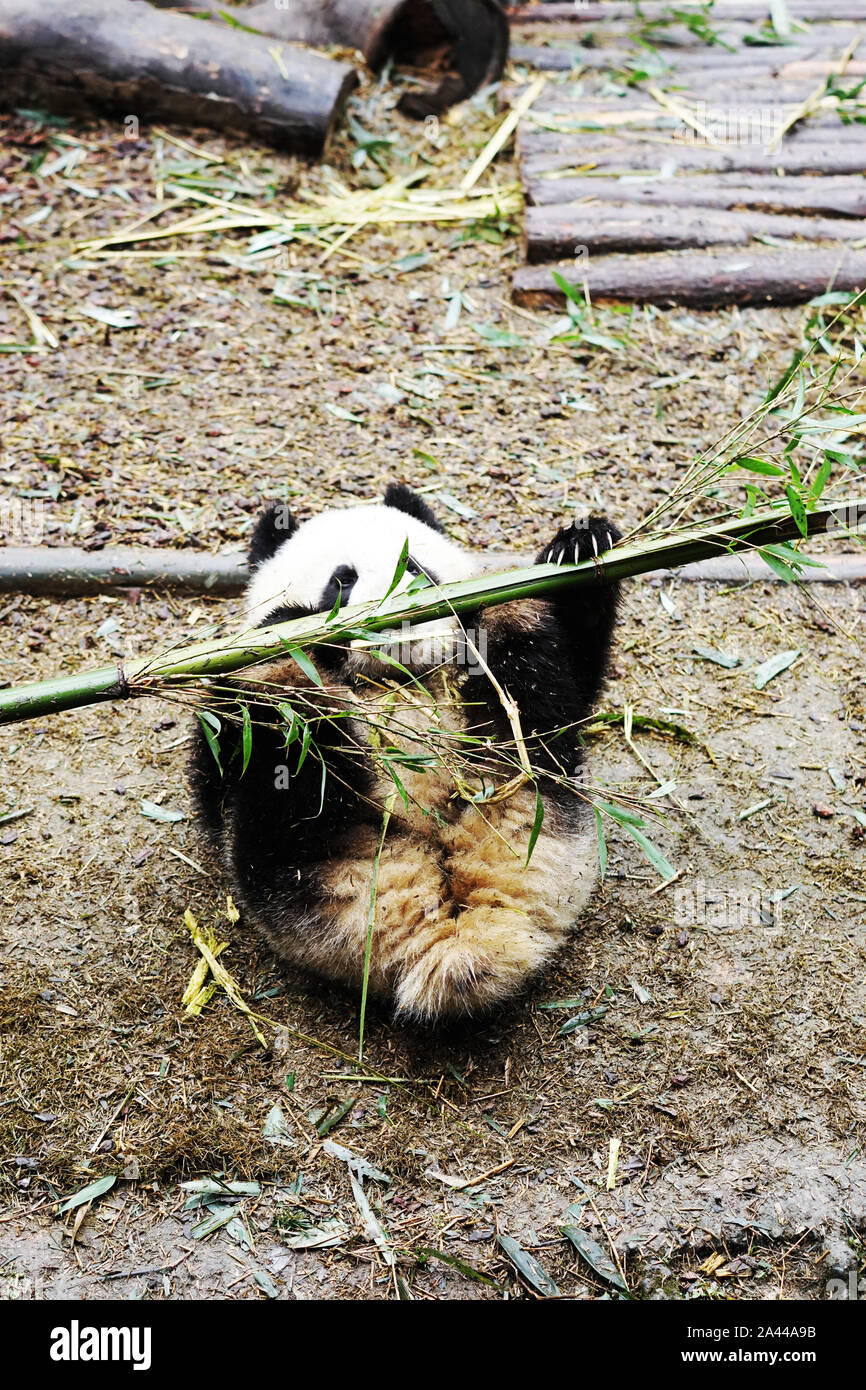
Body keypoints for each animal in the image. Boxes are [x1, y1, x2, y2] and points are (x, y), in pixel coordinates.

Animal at [189, 483, 621, 1021]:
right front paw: (286, 634)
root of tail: (449, 935)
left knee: (525, 688)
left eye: (413, 565)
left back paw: (508, 612)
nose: (399, 615)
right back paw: (288, 667)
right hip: (294, 865)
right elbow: (219, 767)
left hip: (534, 800)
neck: (395, 679)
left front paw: (582, 544)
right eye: (342, 581)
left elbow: (581, 671)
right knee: (297, 775)